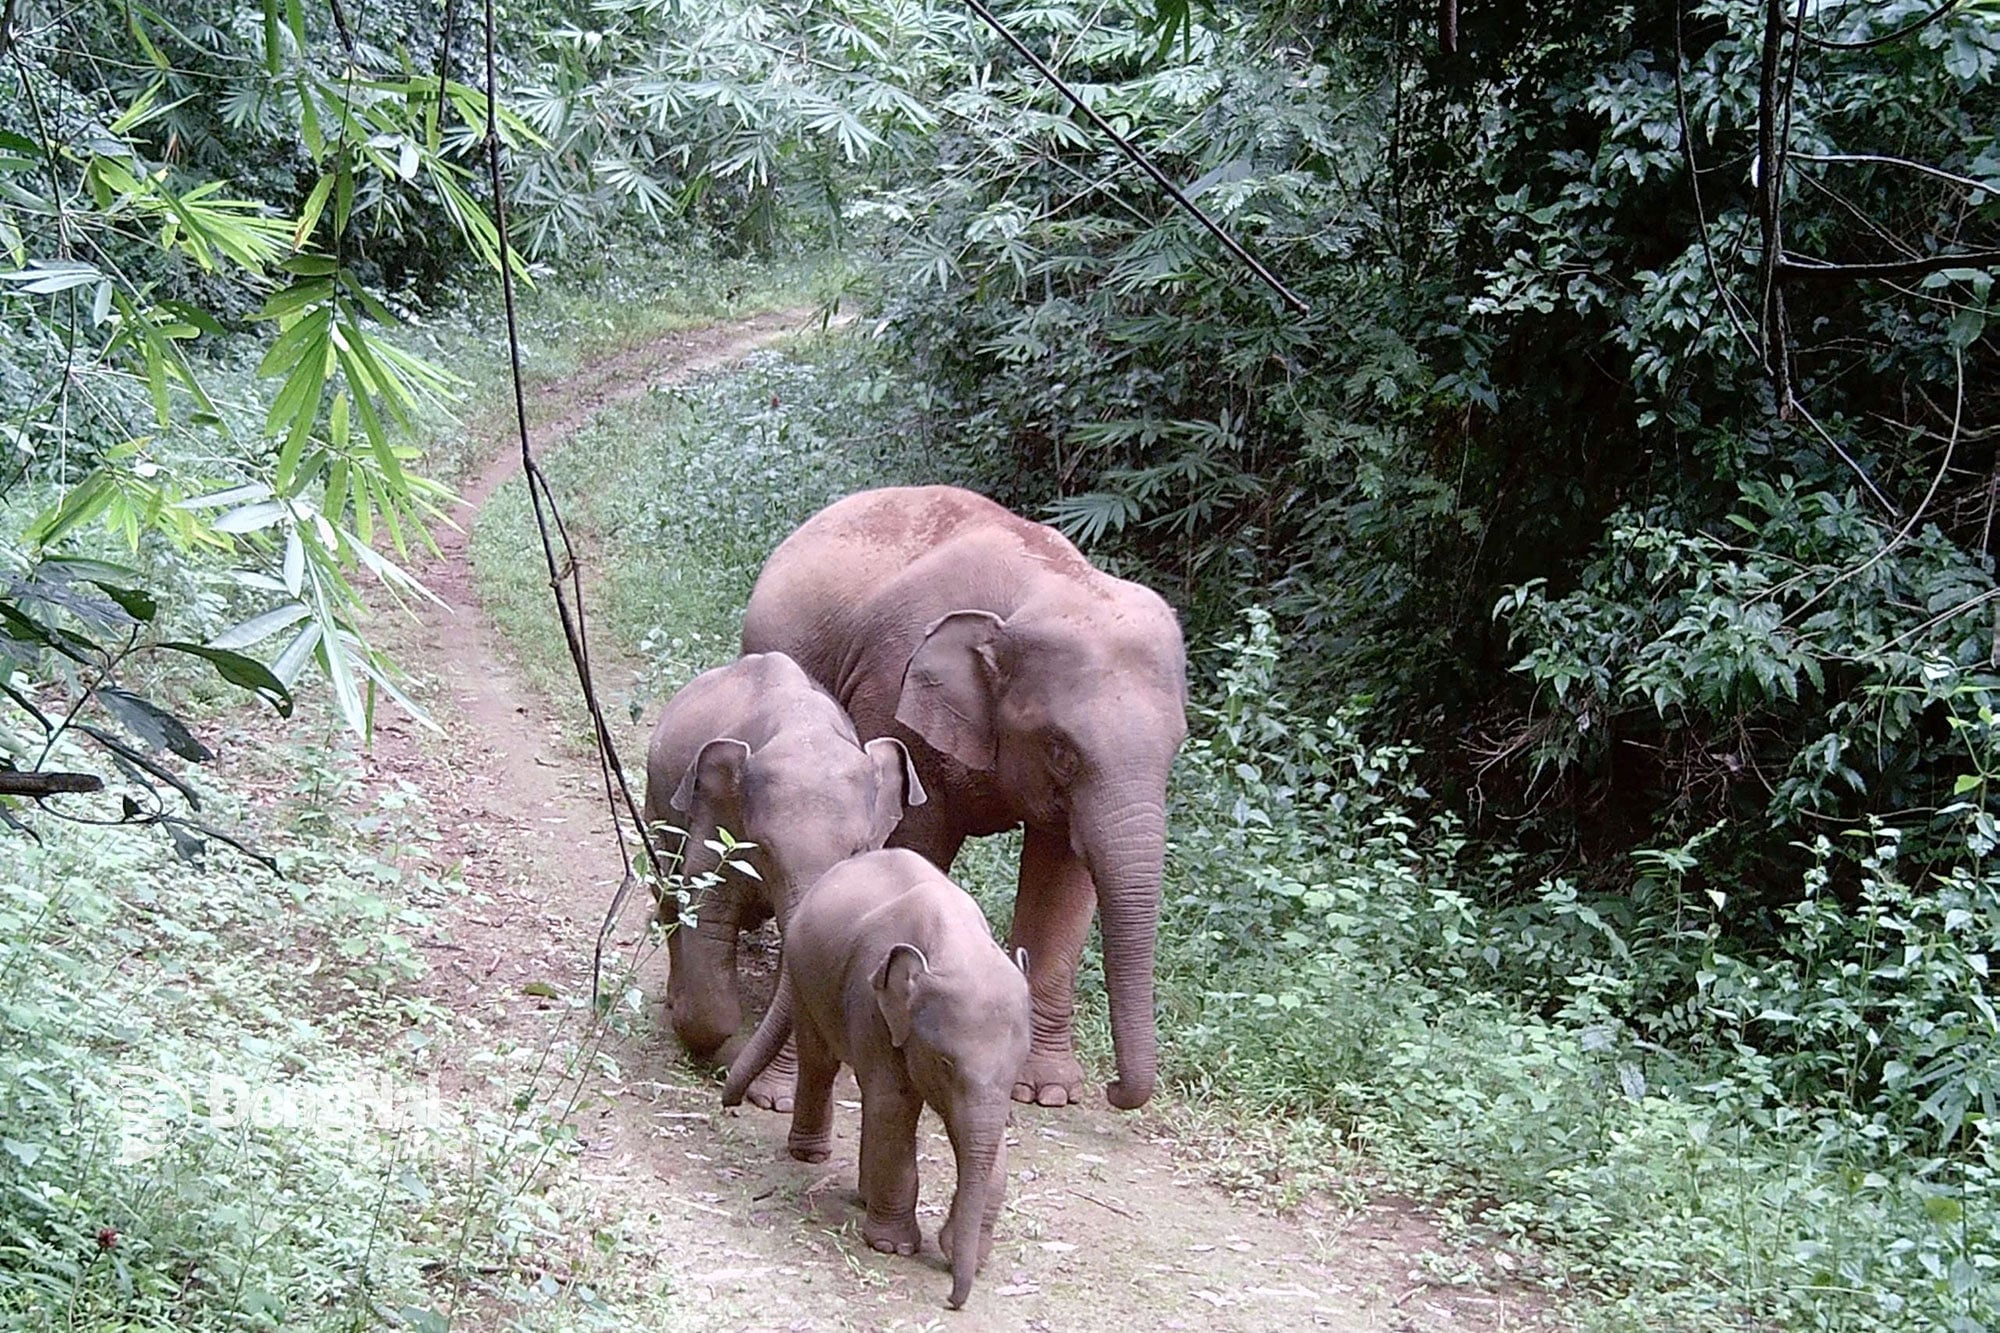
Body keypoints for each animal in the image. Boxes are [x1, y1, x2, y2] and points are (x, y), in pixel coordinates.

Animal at [640, 651, 925, 1110]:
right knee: (667, 890)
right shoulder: (715, 815)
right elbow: (709, 908)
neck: (802, 727)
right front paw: (712, 1044)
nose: (730, 1099)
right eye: (764, 849)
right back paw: (674, 996)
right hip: (656, 804)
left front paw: (776, 1099)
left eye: (859, 850)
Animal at [722, 848, 1031, 1310]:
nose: (953, 1301)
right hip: (810, 982)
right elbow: (894, 1103)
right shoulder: (871, 1001)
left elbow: (984, 1138)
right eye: (945, 1063)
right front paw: (893, 1247)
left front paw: (969, 1256)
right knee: (821, 1062)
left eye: (1017, 1068)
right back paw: (811, 1156)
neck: (955, 944)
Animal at [740, 485, 1187, 1111]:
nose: (1115, 1090)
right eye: (1062, 750)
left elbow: (1064, 877)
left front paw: (1048, 1092)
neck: (1050, 585)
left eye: (1178, 744)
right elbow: (915, 844)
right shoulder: (894, 696)